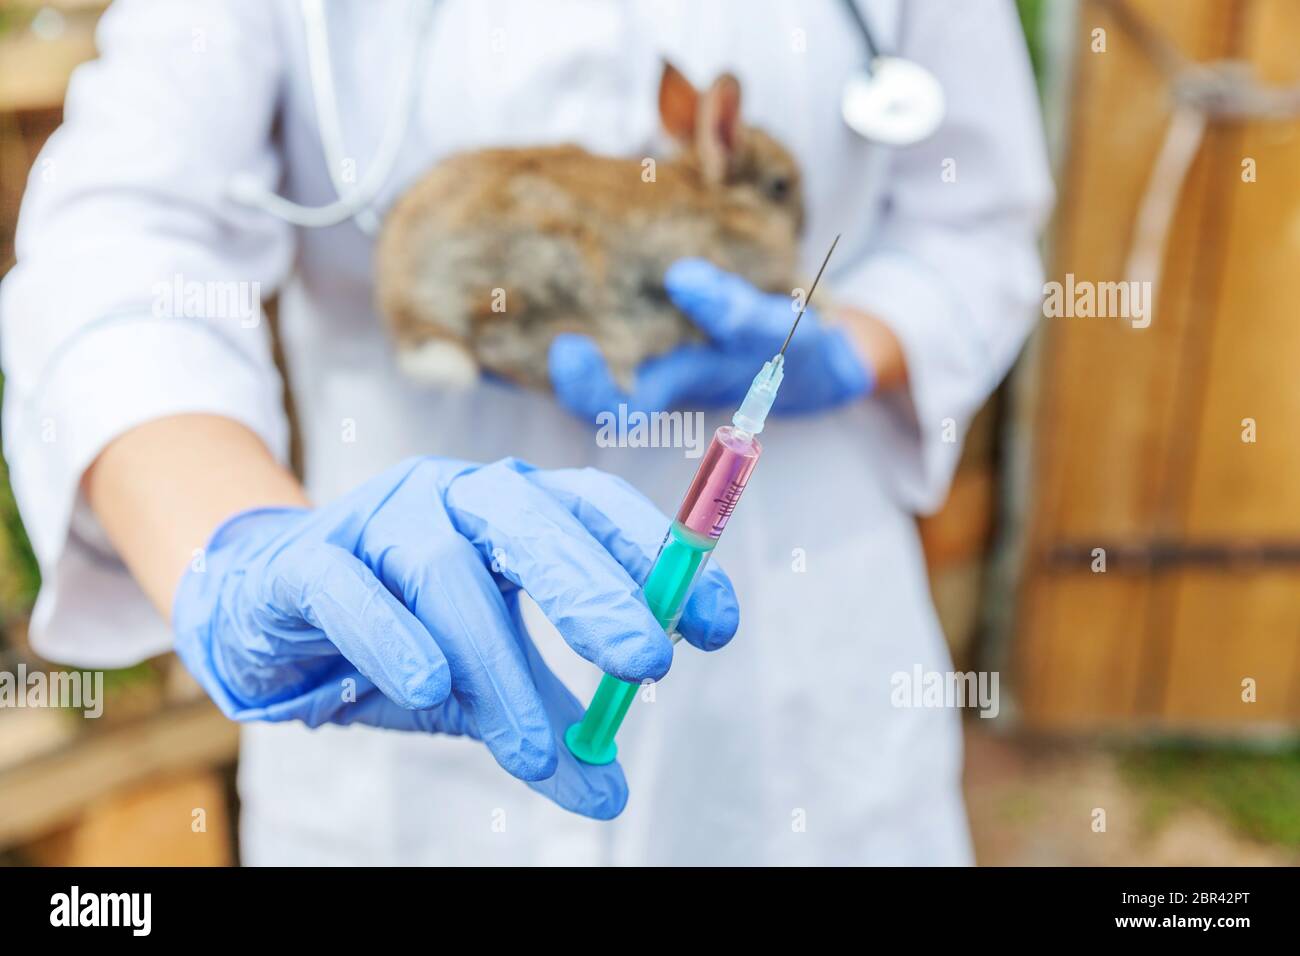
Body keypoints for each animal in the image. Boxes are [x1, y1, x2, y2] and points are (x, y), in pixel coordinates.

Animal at [374, 60, 805, 392]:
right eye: (780, 186)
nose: (804, 225)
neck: (721, 197)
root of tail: (404, 298)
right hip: (550, 260)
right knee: (497, 337)